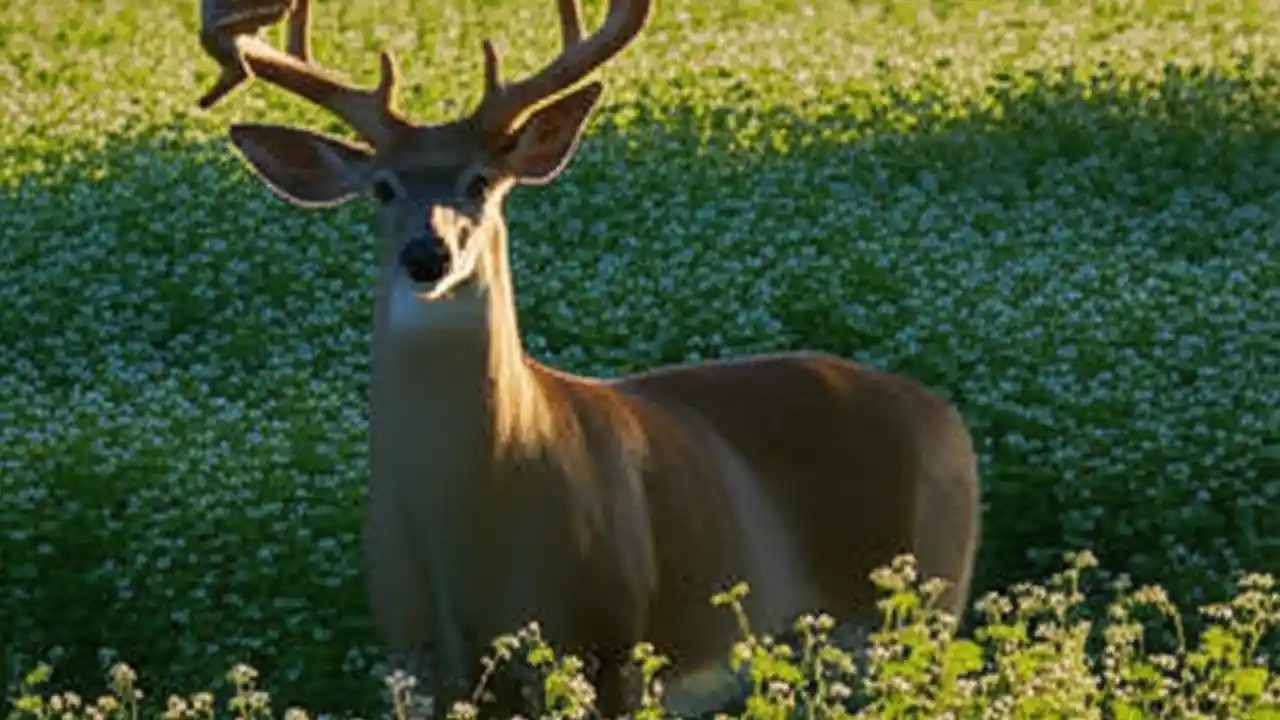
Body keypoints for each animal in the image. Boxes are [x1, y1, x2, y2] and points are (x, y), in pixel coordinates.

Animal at [195, 0, 982, 716]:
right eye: (383, 188)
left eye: (480, 181)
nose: (427, 254)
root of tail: (946, 419)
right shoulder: (407, 653)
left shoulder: (610, 638)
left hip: (922, 602)